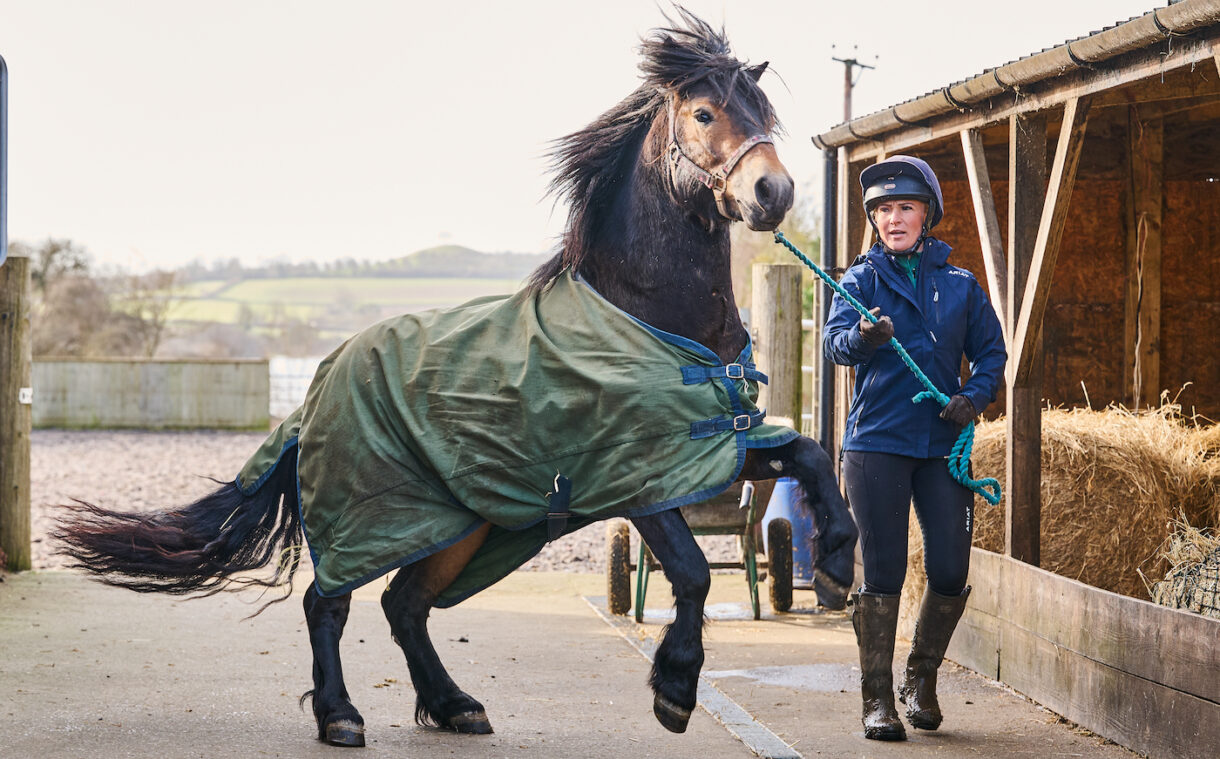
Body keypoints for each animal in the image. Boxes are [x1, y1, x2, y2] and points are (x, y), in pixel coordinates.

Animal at [55, 8, 858, 748]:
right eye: (703, 113)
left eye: (764, 113)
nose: (773, 192)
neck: (649, 317)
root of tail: (314, 388)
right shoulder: (638, 478)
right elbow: (690, 572)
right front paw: (674, 690)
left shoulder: (715, 449)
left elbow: (812, 457)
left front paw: (835, 568)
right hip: (372, 519)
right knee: (328, 602)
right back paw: (340, 715)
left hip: (457, 526)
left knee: (403, 605)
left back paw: (453, 705)